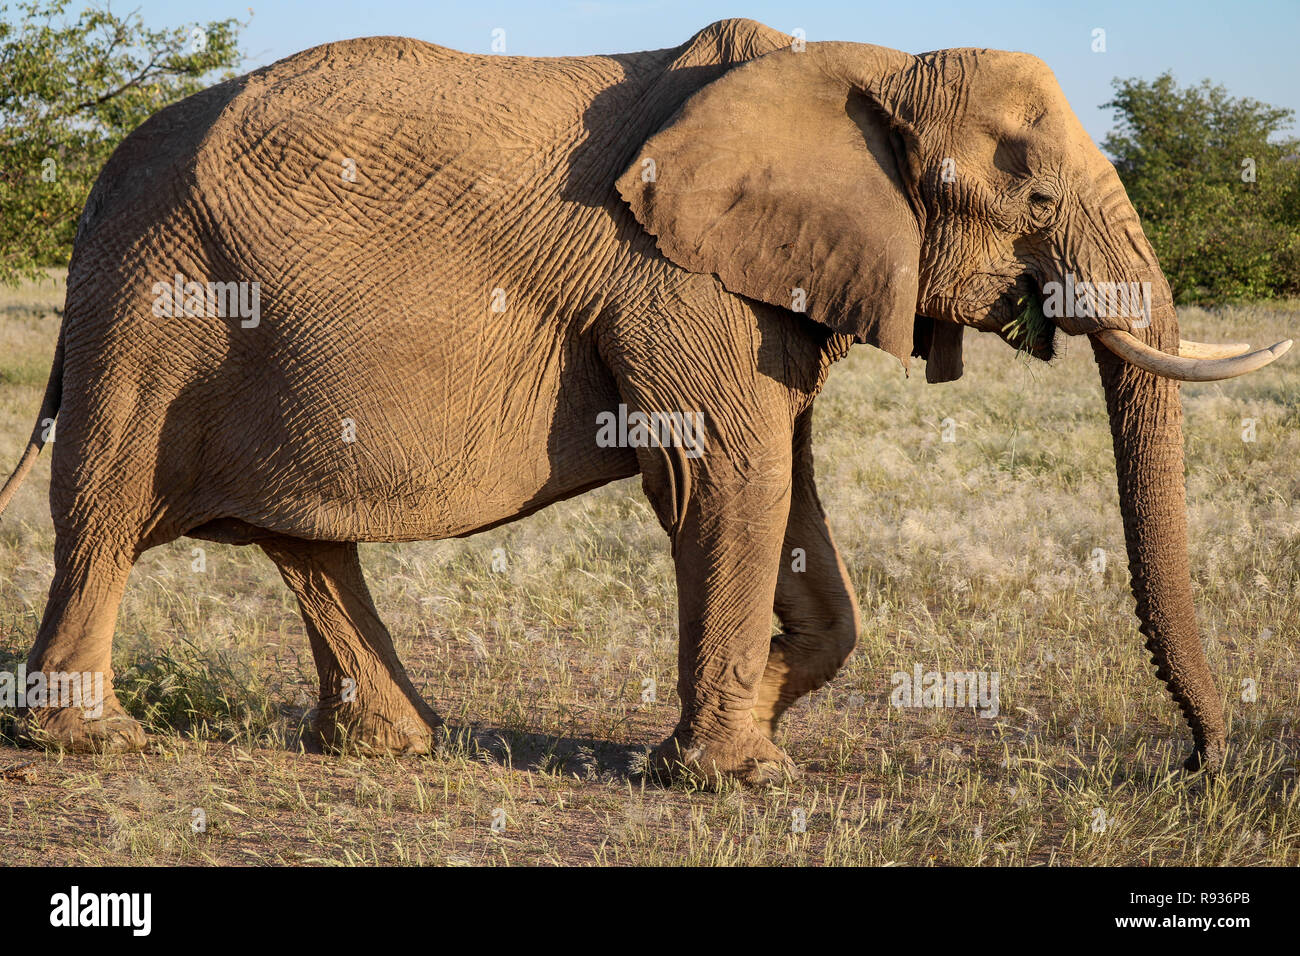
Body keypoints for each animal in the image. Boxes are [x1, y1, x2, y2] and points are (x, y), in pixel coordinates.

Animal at [0, 18, 1290, 786]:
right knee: (107, 510)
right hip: (152, 307)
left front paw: (739, 720)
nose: (1196, 764)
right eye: (1030, 196)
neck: (862, 59)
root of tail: (100, 176)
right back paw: (93, 739)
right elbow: (730, 474)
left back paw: (395, 742)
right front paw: (732, 770)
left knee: (304, 540)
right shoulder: (672, 281)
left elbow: (789, 490)